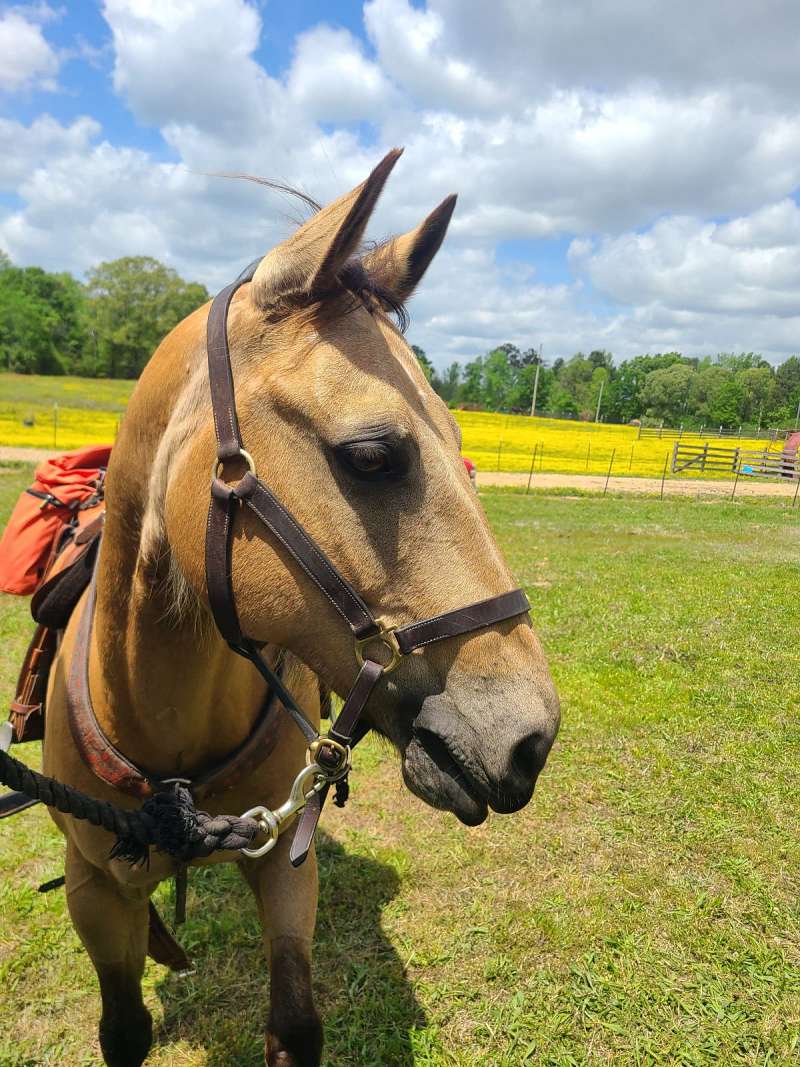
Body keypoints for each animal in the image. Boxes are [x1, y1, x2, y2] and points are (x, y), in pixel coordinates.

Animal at [41, 148, 560, 1067]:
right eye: (372, 454)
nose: (531, 738)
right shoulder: (93, 887)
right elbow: (124, 1026)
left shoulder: (286, 859)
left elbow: (294, 1021)